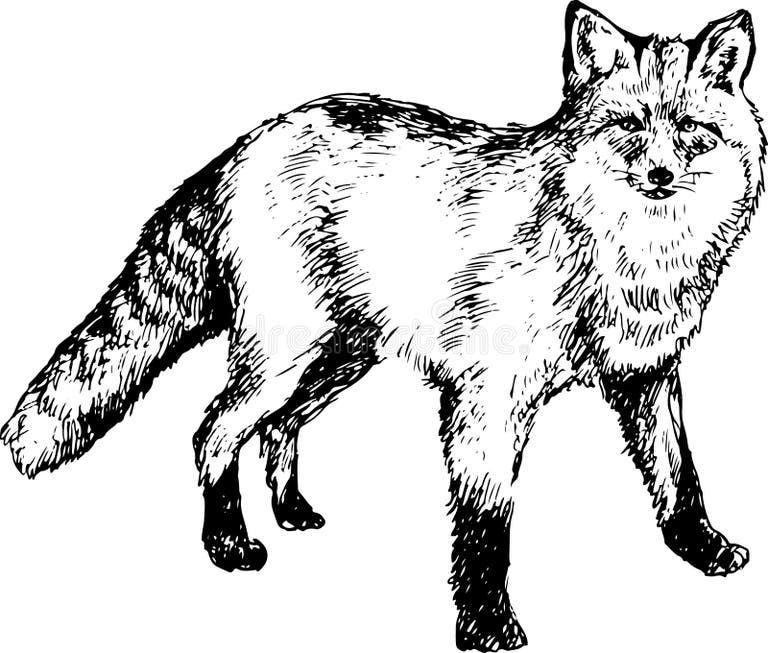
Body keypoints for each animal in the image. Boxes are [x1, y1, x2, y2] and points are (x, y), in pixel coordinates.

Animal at [1, 2, 764, 650]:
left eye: (692, 132)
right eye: (630, 127)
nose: (660, 176)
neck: (628, 255)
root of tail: (248, 141)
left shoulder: (647, 376)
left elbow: (681, 479)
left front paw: (700, 548)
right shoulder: (488, 398)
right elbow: (486, 527)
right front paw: (485, 623)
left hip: (337, 359)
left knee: (277, 428)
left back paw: (290, 509)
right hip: (283, 359)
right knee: (213, 433)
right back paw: (228, 544)